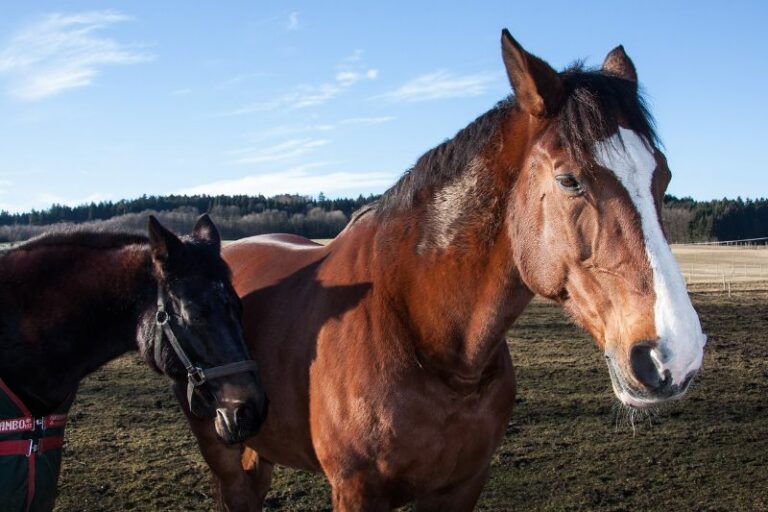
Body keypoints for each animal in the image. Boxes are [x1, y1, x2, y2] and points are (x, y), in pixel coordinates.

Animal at [182, 30, 706, 511]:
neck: (422, 333)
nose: (673, 355)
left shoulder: (462, 485)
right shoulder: (355, 492)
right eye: (568, 179)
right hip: (226, 457)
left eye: (662, 177)